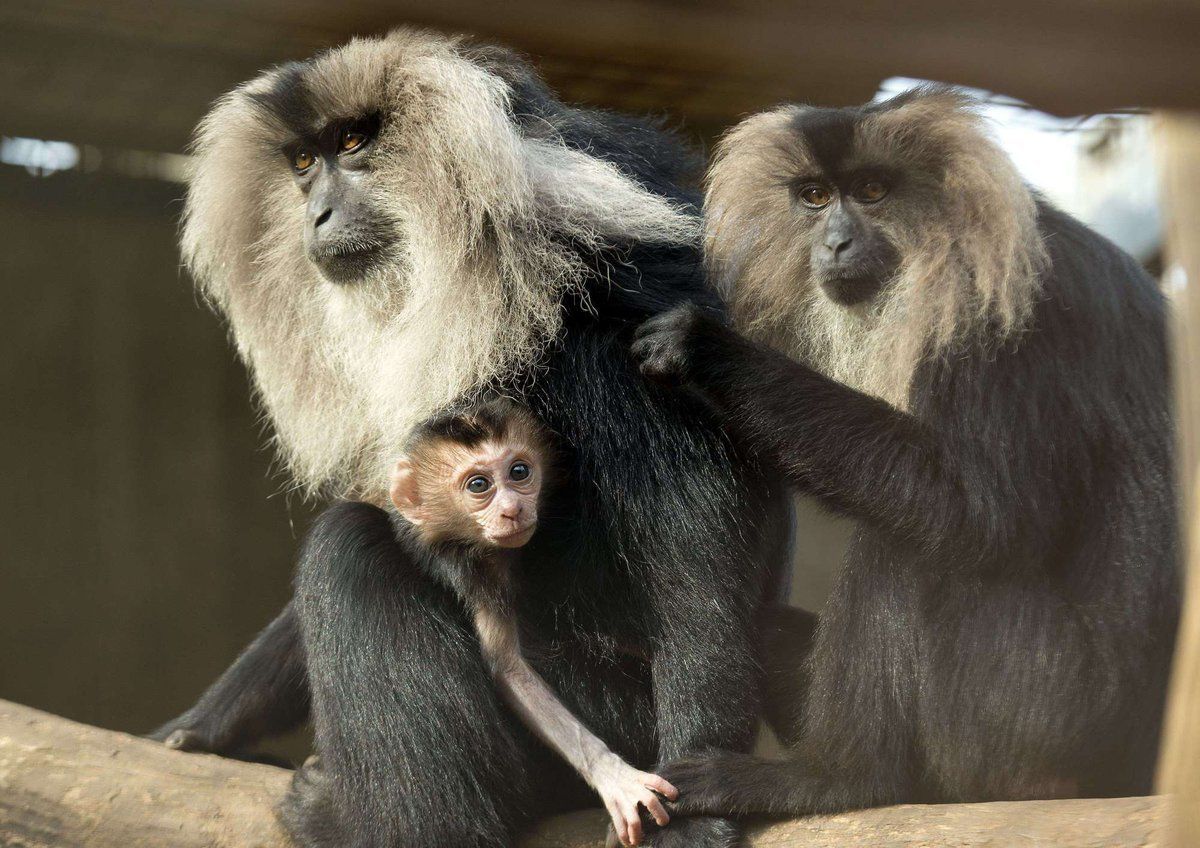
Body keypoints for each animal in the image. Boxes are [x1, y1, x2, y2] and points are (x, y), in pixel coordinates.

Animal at [386, 398, 678, 847]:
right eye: (478, 485)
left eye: (520, 472)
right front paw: (613, 775)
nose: (513, 510)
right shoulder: (479, 573)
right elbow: (509, 669)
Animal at [632, 86, 1179, 817]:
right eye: (814, 196)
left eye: (872, 191)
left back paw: (833, 779)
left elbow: (983, 514)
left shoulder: (996, 316)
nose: (835, 242)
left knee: (910, 552)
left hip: (1036, 714)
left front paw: (708, 349)